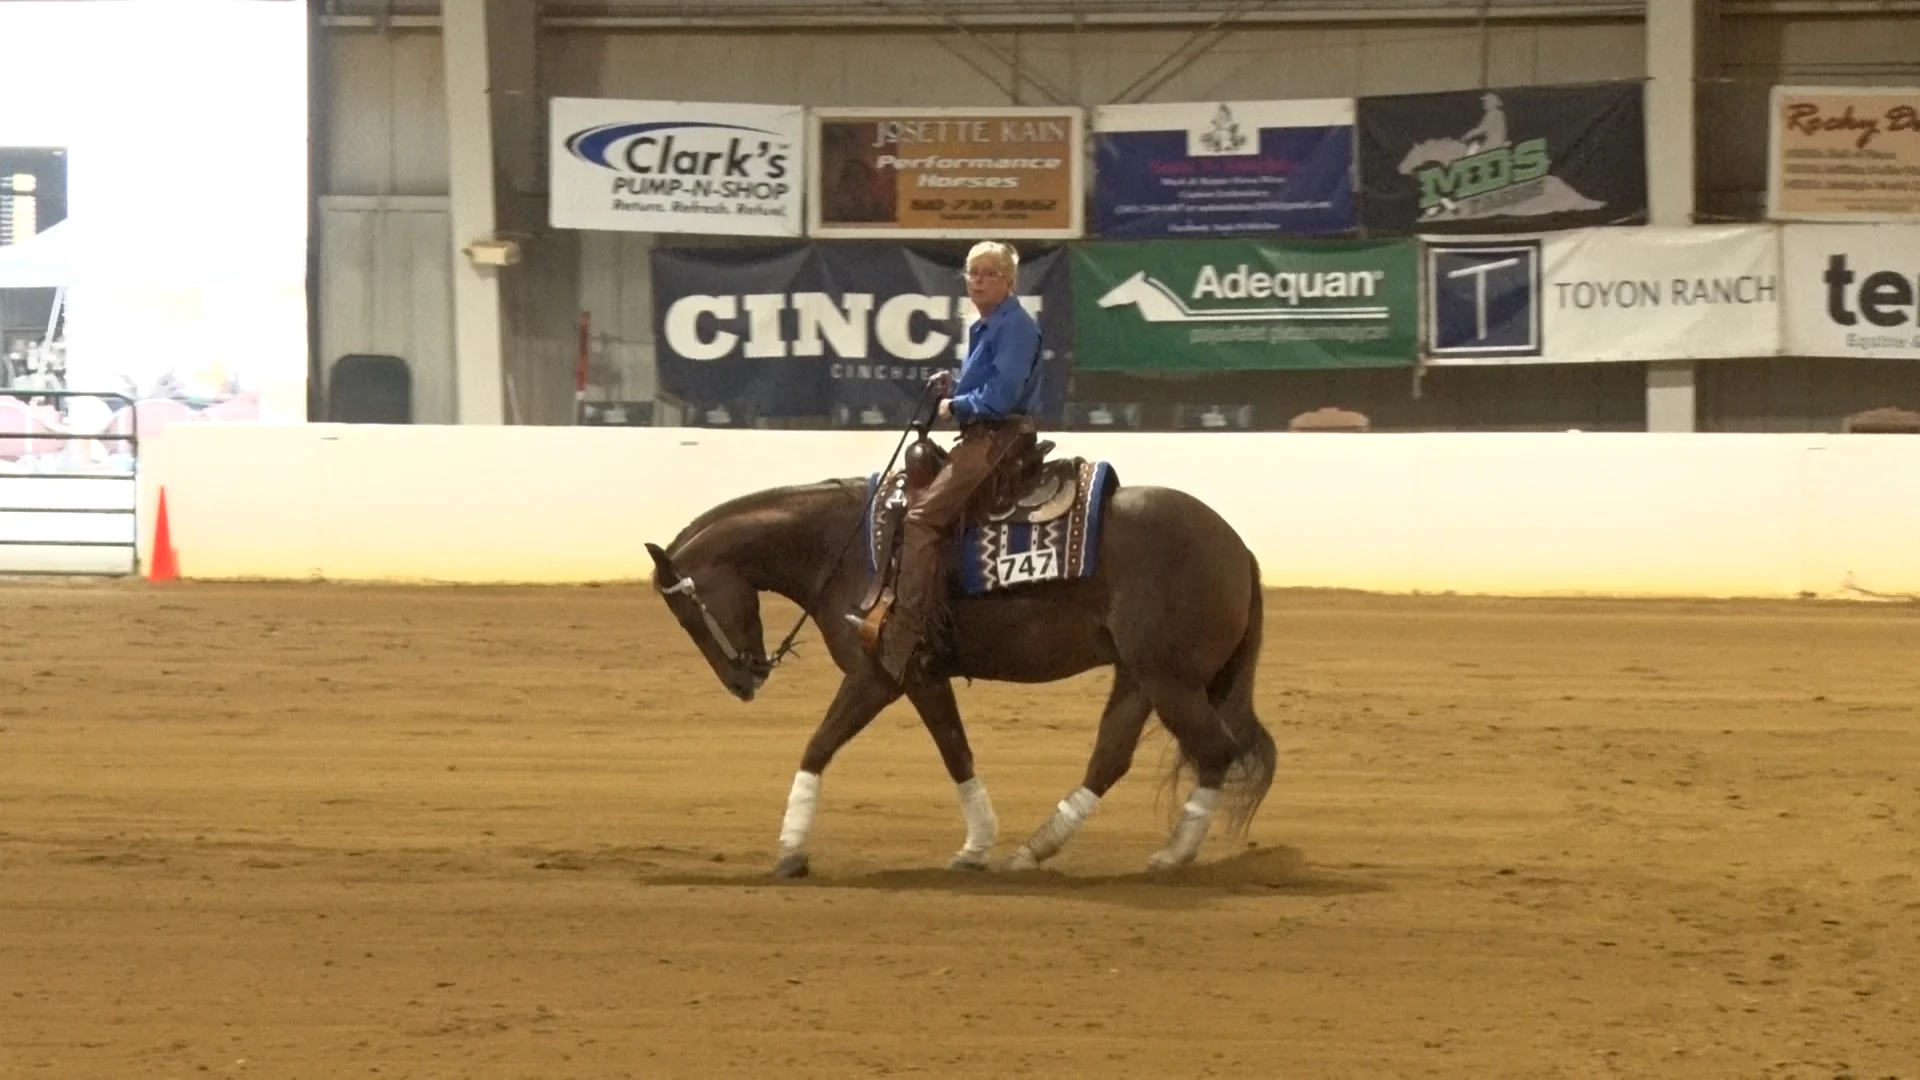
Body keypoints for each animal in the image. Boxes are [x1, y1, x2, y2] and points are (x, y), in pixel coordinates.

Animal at [642, 434, 1277, 880]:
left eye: (689, 611)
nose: (742, 681)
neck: (842, 546)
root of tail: (1240, 548)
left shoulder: (879, 673)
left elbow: (819, 746)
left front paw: (791, 851)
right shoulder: (923, 677)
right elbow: (957, 753)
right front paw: (976, 847)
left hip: (1171, 681)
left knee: (1214, 751)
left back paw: (1172, 855)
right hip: (1140, 676)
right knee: (1112, 758)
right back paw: (1033, 850)